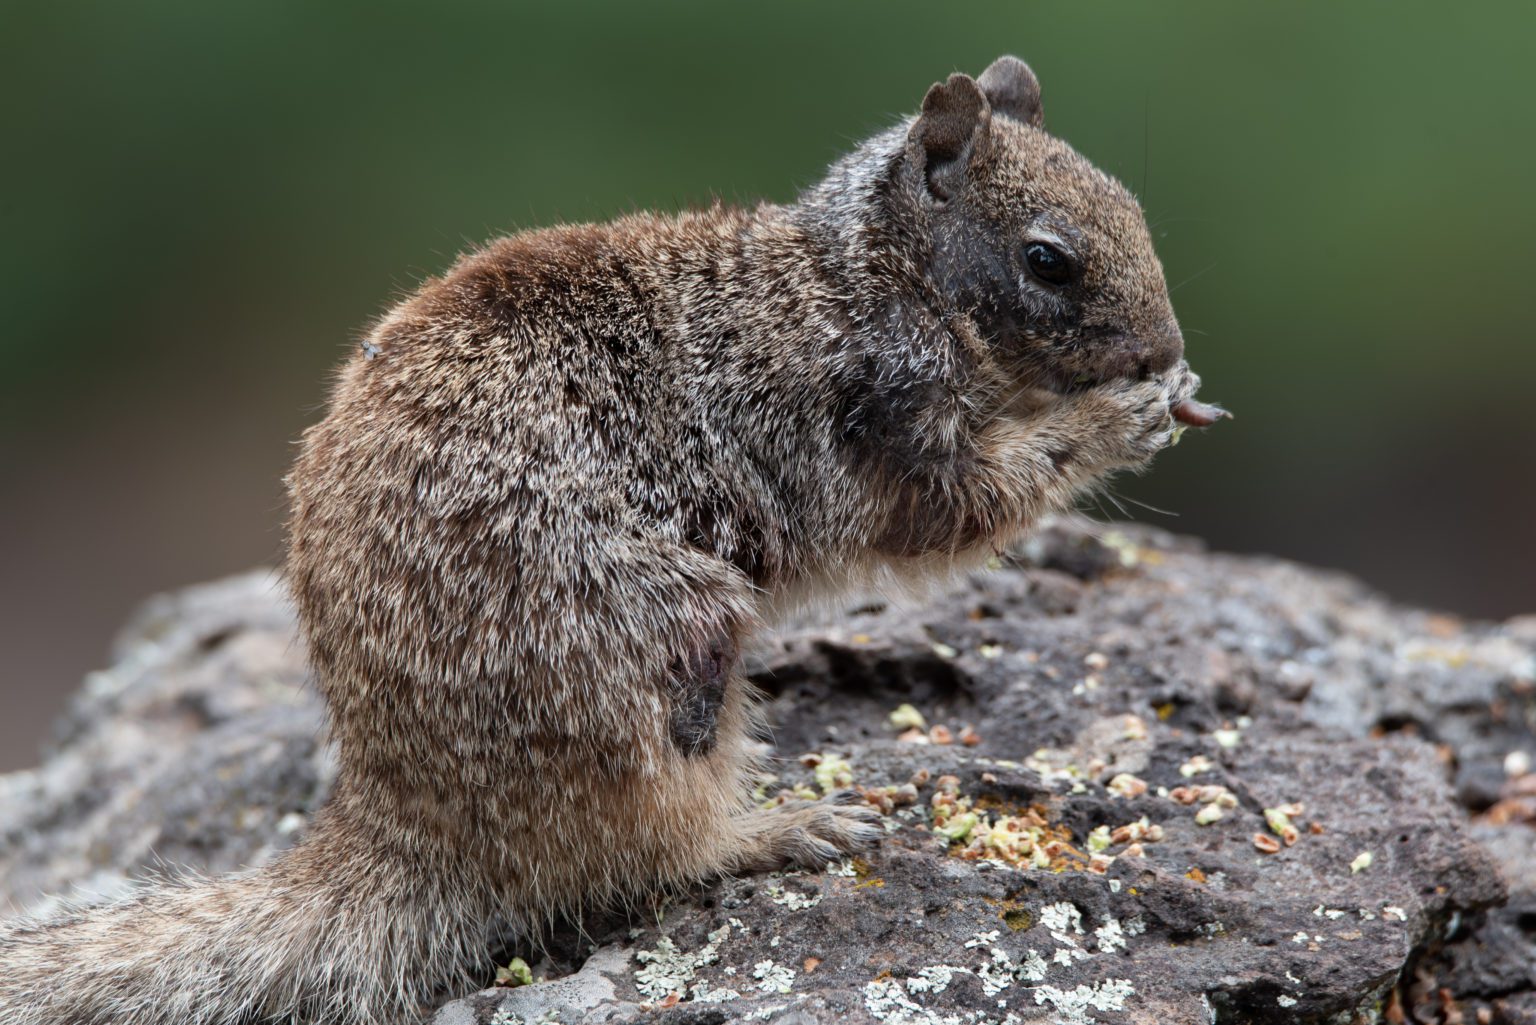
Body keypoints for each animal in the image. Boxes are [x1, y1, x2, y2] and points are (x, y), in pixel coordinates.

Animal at [0, 57, 1221, 1024]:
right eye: (1049, 259)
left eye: (1134, 209)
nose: (1166, 344)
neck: (867, 277)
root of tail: (404, 819)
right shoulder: (894, 435)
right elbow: (984, 495)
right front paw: (1126, 416)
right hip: (668, 649)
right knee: (642, 852)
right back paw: (778, 828)